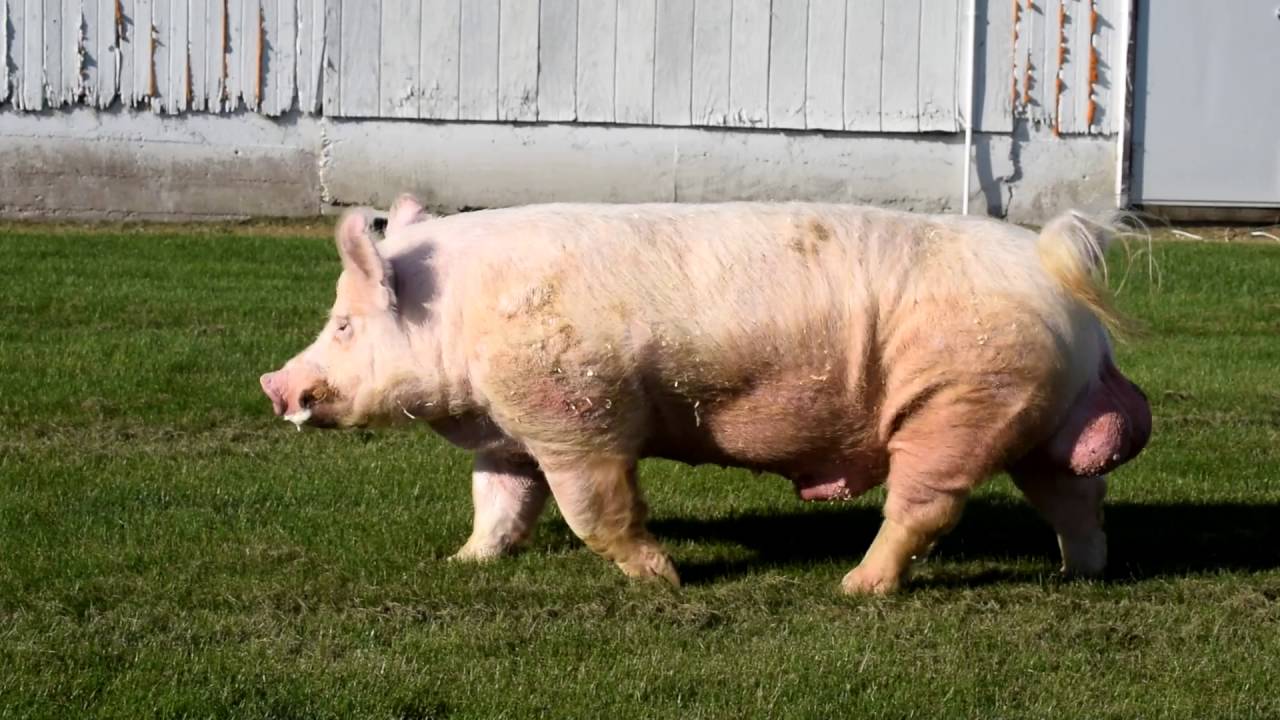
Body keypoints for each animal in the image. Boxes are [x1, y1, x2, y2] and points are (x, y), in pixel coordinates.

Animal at [259, 195, 1151, 594]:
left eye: (343, 324)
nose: (274, 382)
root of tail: (1055, 268)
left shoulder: (577, 410)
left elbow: (594, 509)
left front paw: (665, 580)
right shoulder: (511, 429)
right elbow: (500, 503)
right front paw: (462, 562)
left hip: (961, 400)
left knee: (926, 507)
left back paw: (855, 588)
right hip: (1039, 412)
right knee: (1078, 494)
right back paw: (1080, 575)